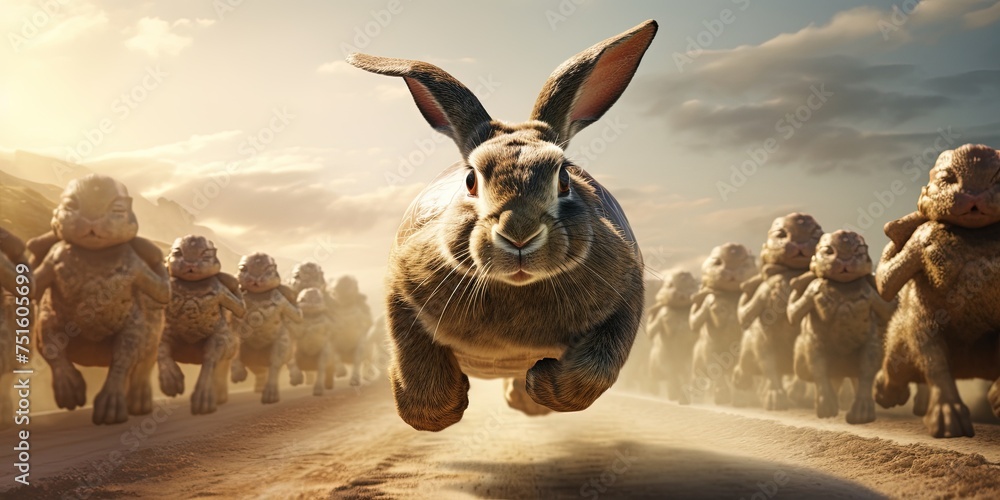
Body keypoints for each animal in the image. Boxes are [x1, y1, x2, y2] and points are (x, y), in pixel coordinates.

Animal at [347, 20, 658, 431]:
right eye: (470, 180)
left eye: (564, 179)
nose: (519, 234)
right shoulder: (401, 293)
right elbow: (416, 365)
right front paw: (446, 407)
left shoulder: (626, 295)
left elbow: (595, 370)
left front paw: (541, 384)